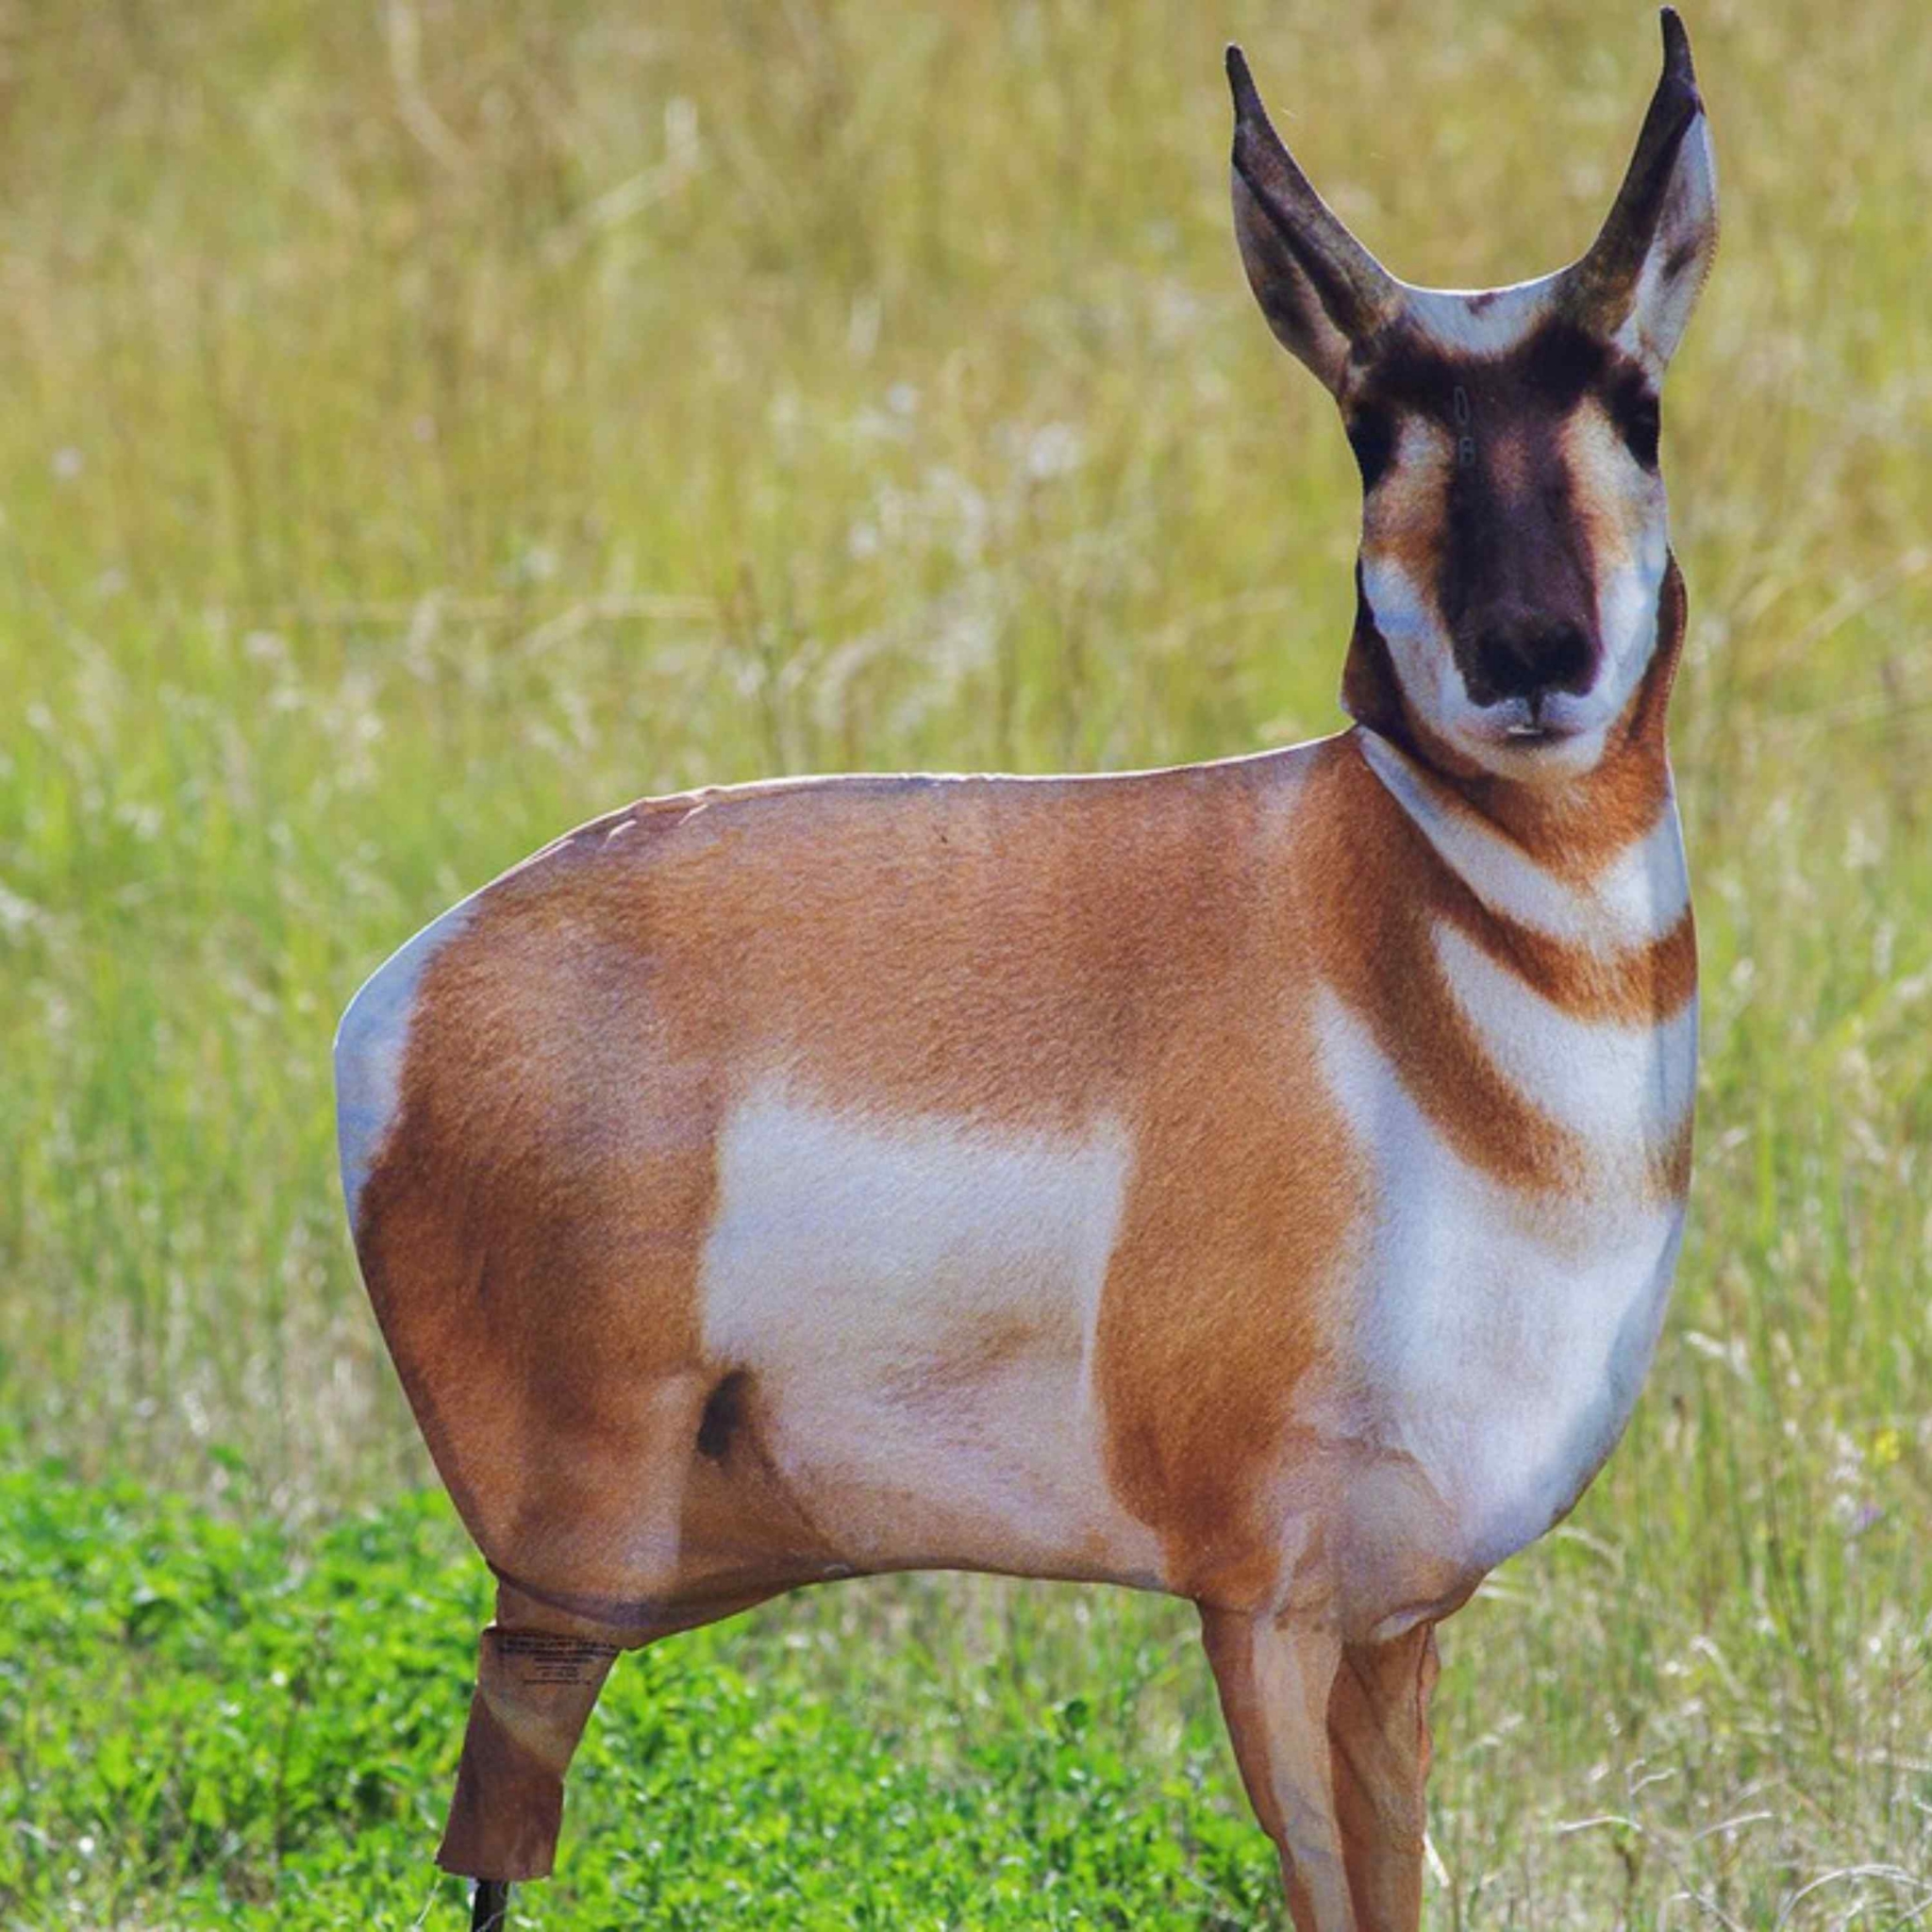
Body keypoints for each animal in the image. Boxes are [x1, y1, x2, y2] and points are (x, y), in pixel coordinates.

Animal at [334, 14, 1717, 1928]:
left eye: (1633, 403)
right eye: (1371, 427)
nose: (1532, 654)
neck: (1391, 962)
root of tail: (417, 977)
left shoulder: (1398, 1619)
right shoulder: (1258, 1603)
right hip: (575, 1573)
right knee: (494, 1834)